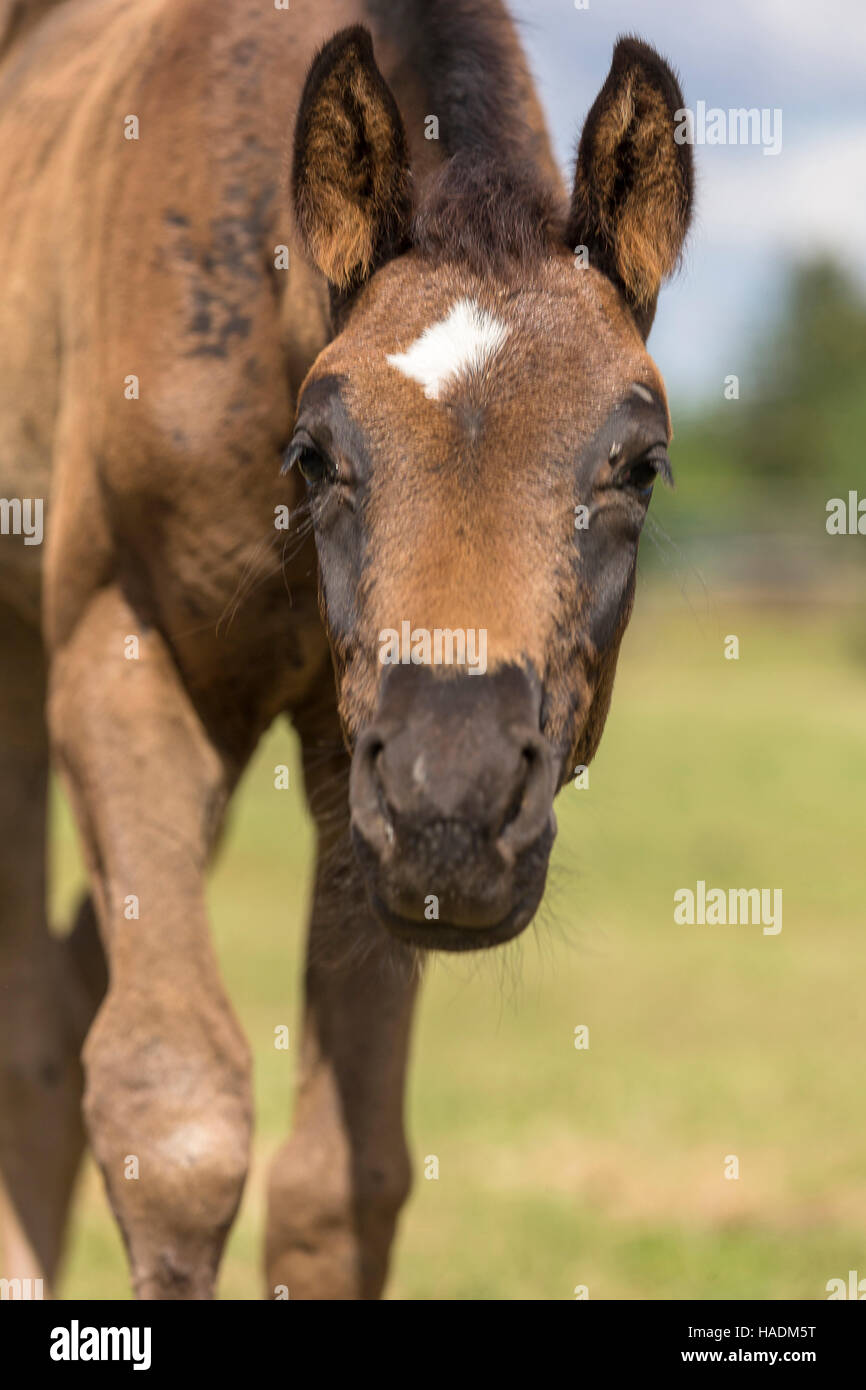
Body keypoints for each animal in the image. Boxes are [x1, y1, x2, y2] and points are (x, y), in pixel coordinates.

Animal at [0, 0, 692, 1299]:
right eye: (316, 451)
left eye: (639, 465)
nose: (453, 801)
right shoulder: (120, 656)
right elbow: (174, 1117)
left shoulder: (346, 756)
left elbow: (344, 1176)